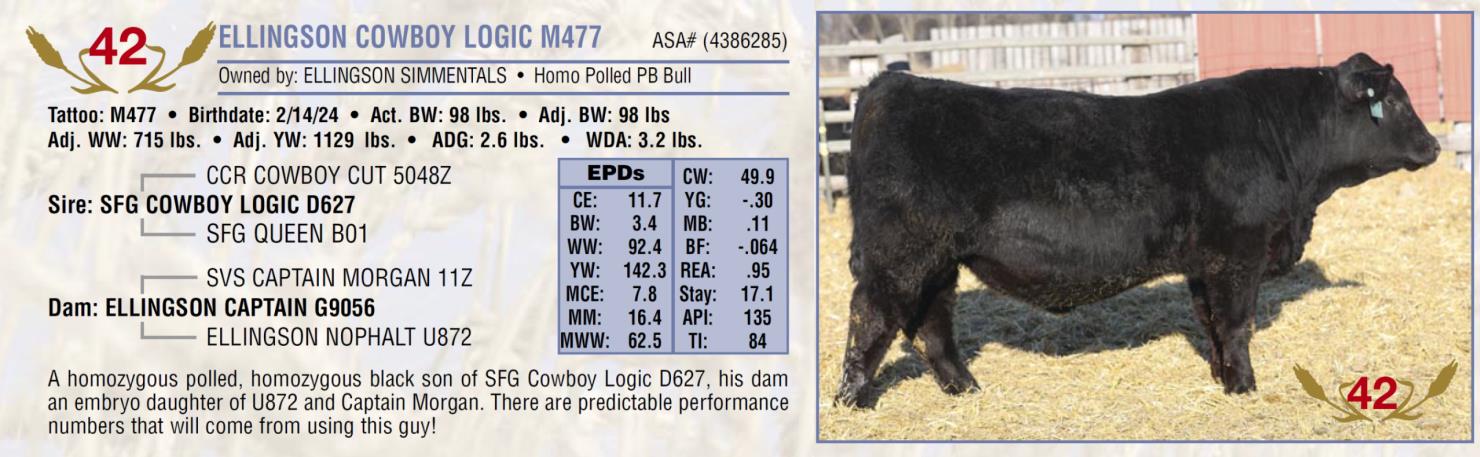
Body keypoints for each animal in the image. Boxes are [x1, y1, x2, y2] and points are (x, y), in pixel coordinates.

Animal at [835, 53, 1440, 407]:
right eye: (1397, 101)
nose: (1434, 146)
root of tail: (891, 84)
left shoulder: (1205, 261)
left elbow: (1210, 322)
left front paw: (1221, 378)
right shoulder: (1237, 252)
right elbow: (1236, 324)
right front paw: (1245, 387)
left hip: (938, 259)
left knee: (930, 323)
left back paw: (965, 389)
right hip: (899, 252)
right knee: (872, 317)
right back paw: (851, 400)